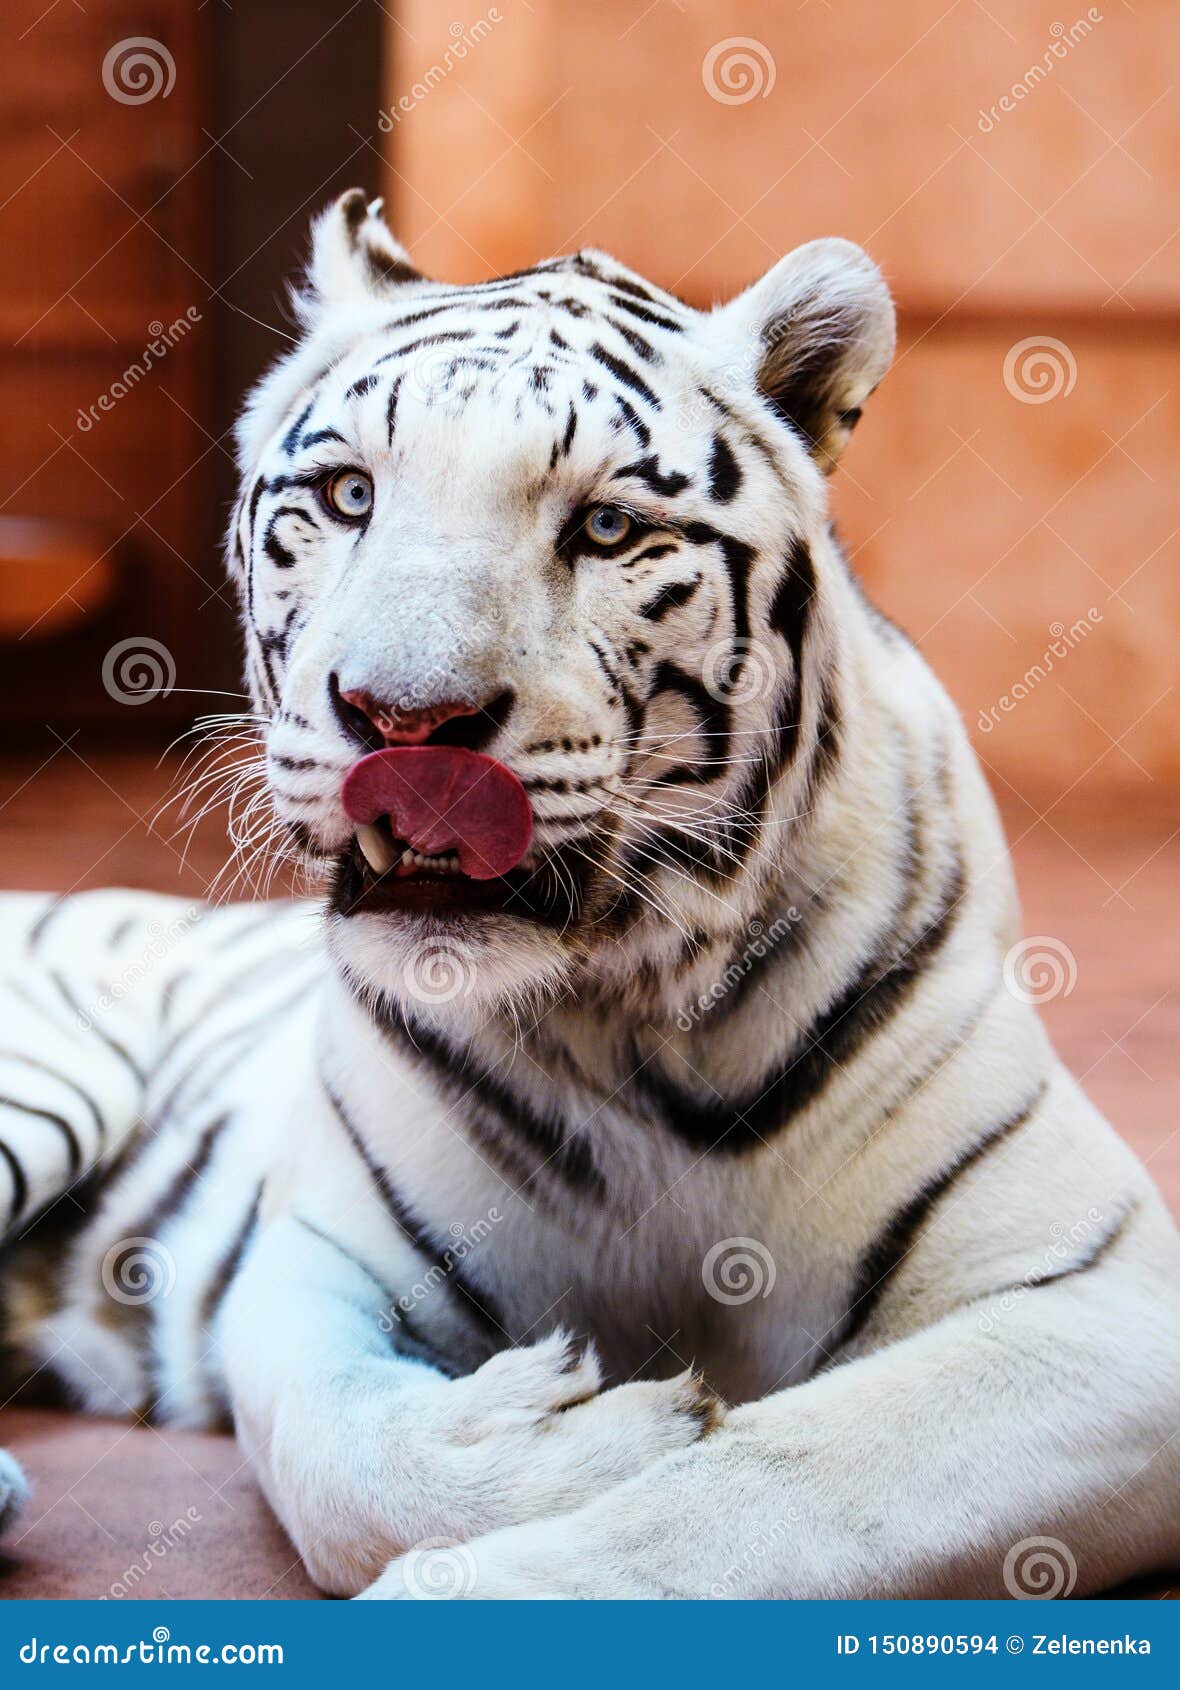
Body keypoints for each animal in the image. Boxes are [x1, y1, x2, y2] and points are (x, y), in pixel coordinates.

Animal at [1, 188, 1177, 1601]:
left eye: (607, 530)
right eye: (349, 494)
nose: (406, 721)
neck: (629, 1015)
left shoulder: (1106, 1304)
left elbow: (773, 1487)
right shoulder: (315, 1258)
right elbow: (342, 1451)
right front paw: (574, 1428)